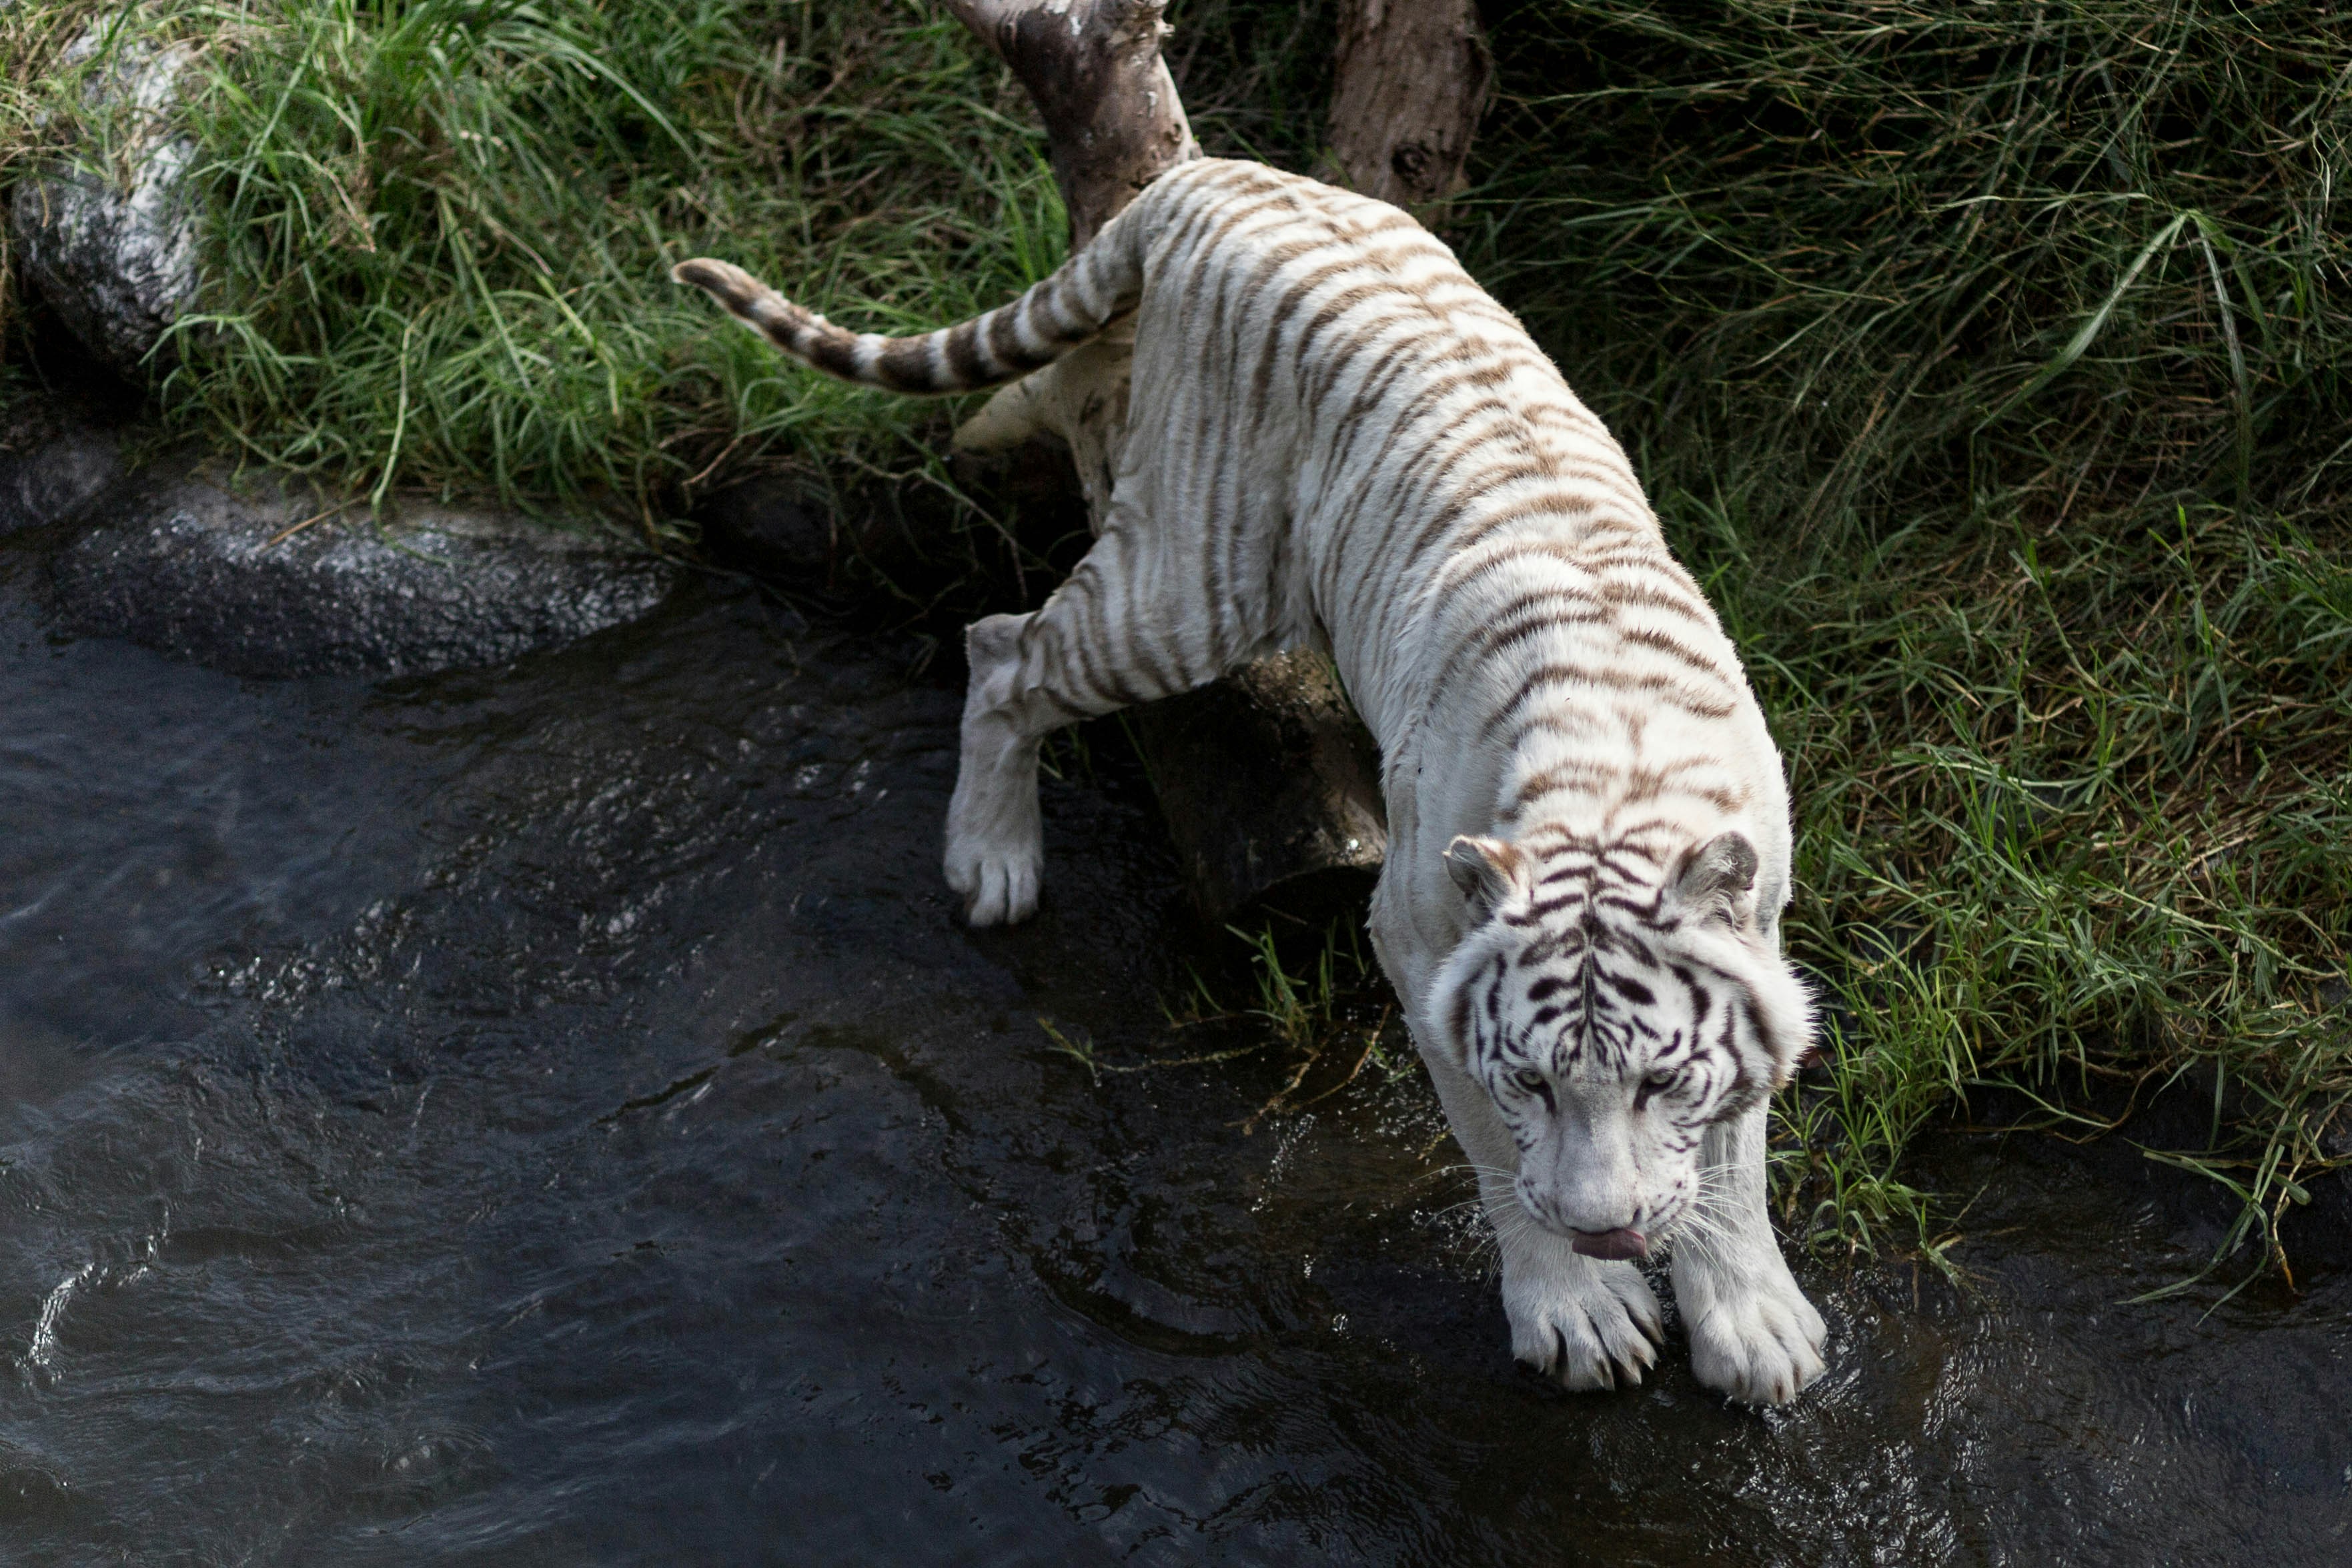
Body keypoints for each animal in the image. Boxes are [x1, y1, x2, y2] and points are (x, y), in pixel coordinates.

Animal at [674, 156, 1828, 1404]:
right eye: (1530, 1083)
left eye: (1658, 1085)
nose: (1607, 1230)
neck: (1613, 779)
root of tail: (1211, 173)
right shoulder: (1414, 938)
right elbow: (1491, 1151)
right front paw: (1574, 1306)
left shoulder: (1757, 932)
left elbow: (1733, 1155)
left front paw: (1751, 1320)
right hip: (1188, 588)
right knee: (1001, 650)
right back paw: (992, 860)